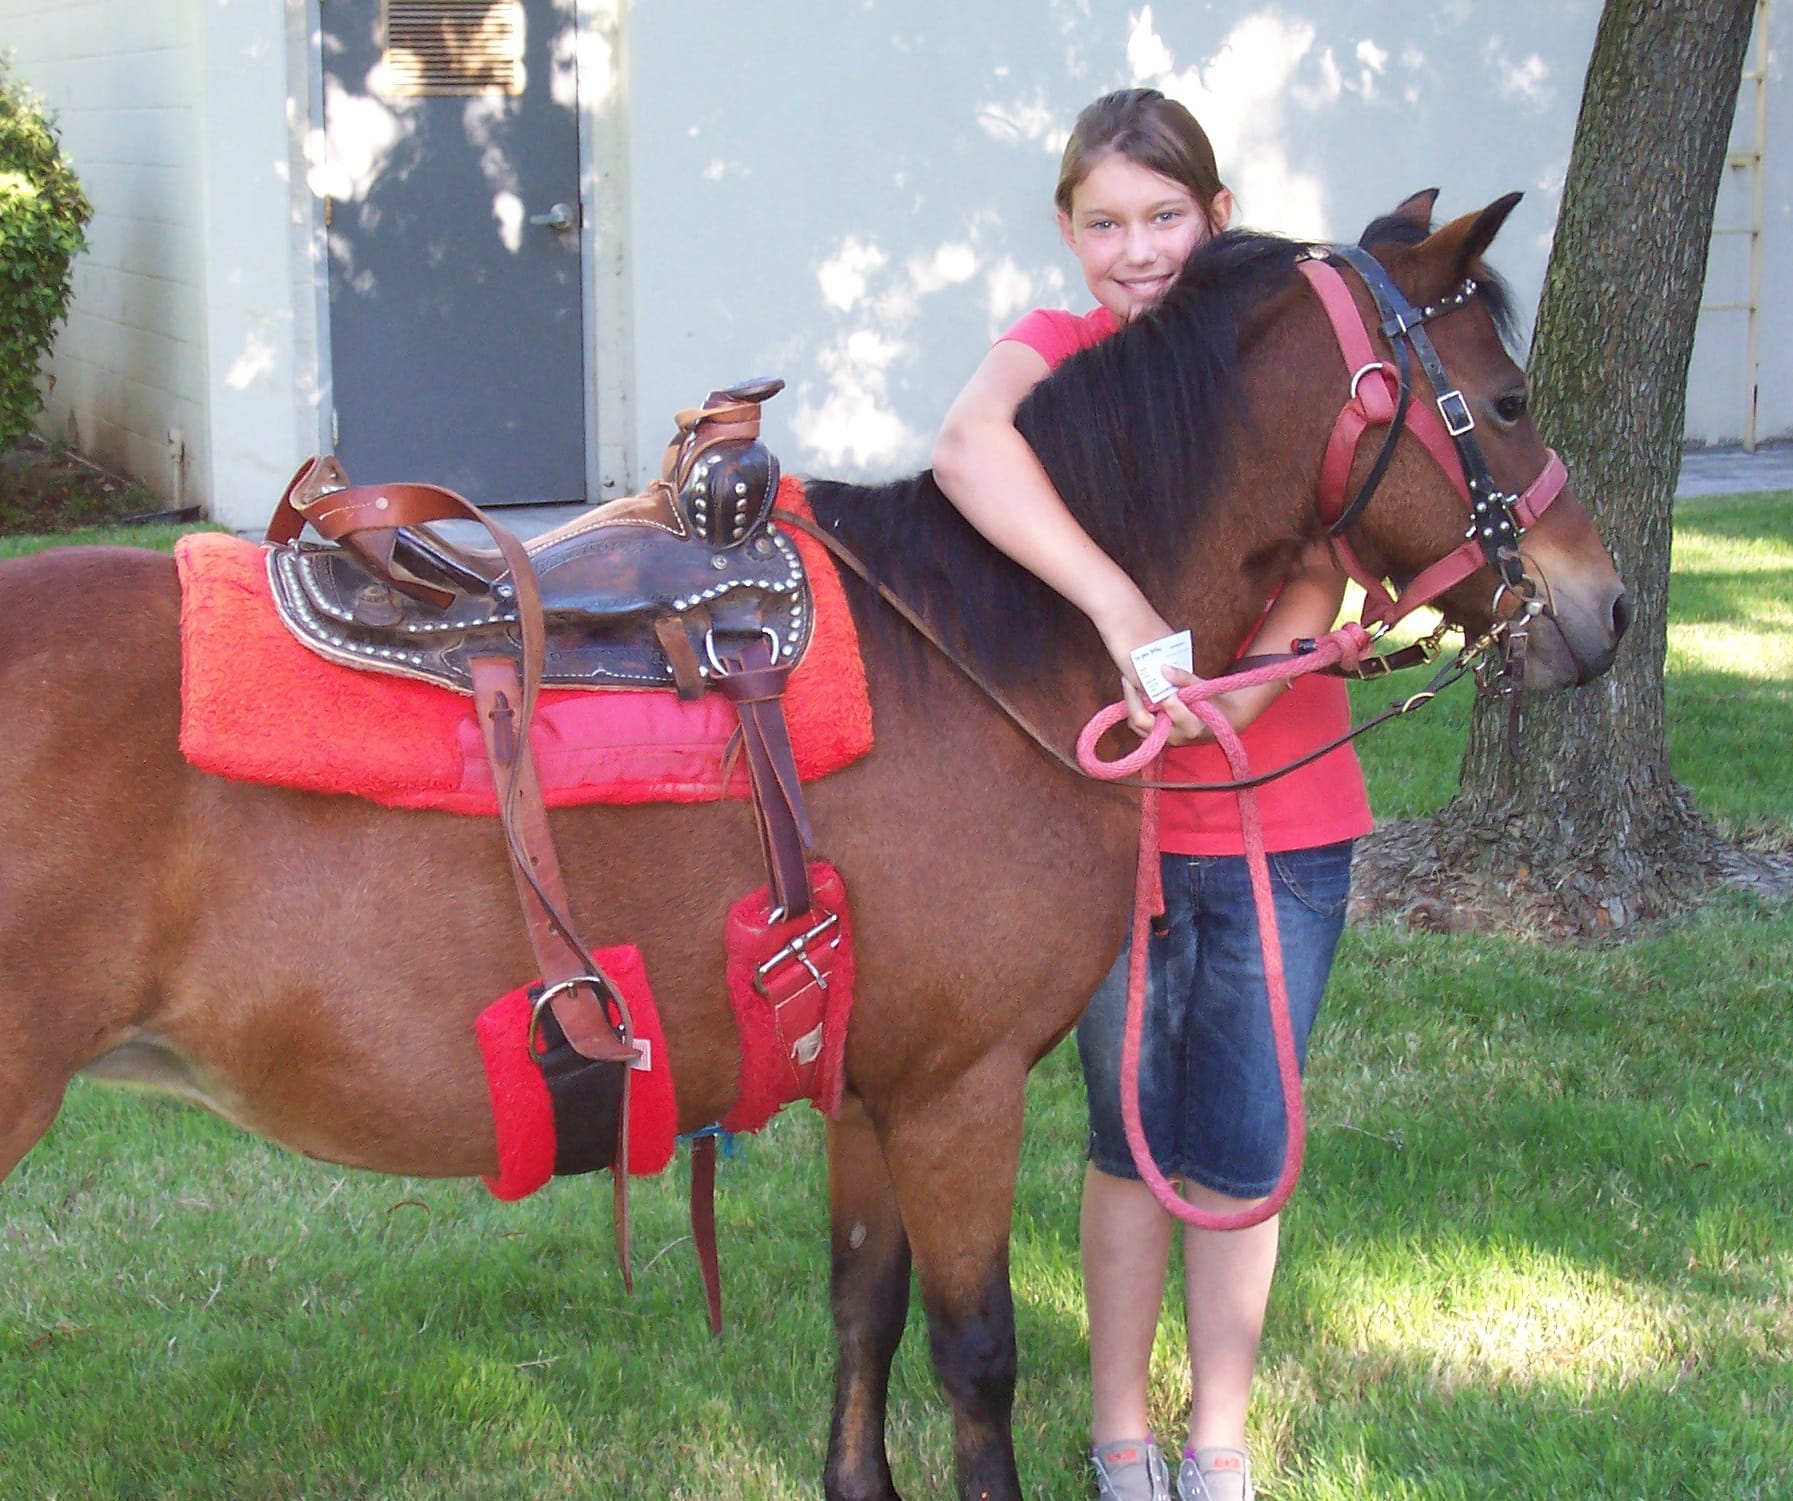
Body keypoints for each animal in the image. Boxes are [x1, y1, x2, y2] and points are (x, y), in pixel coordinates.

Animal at [0, 191, 1626, 1501]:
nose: (1603, 606)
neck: (1000, 638)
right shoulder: (963, 1092)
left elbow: (863, 1310)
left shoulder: (867, 1078)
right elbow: (977, 1356)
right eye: (1509, 398)